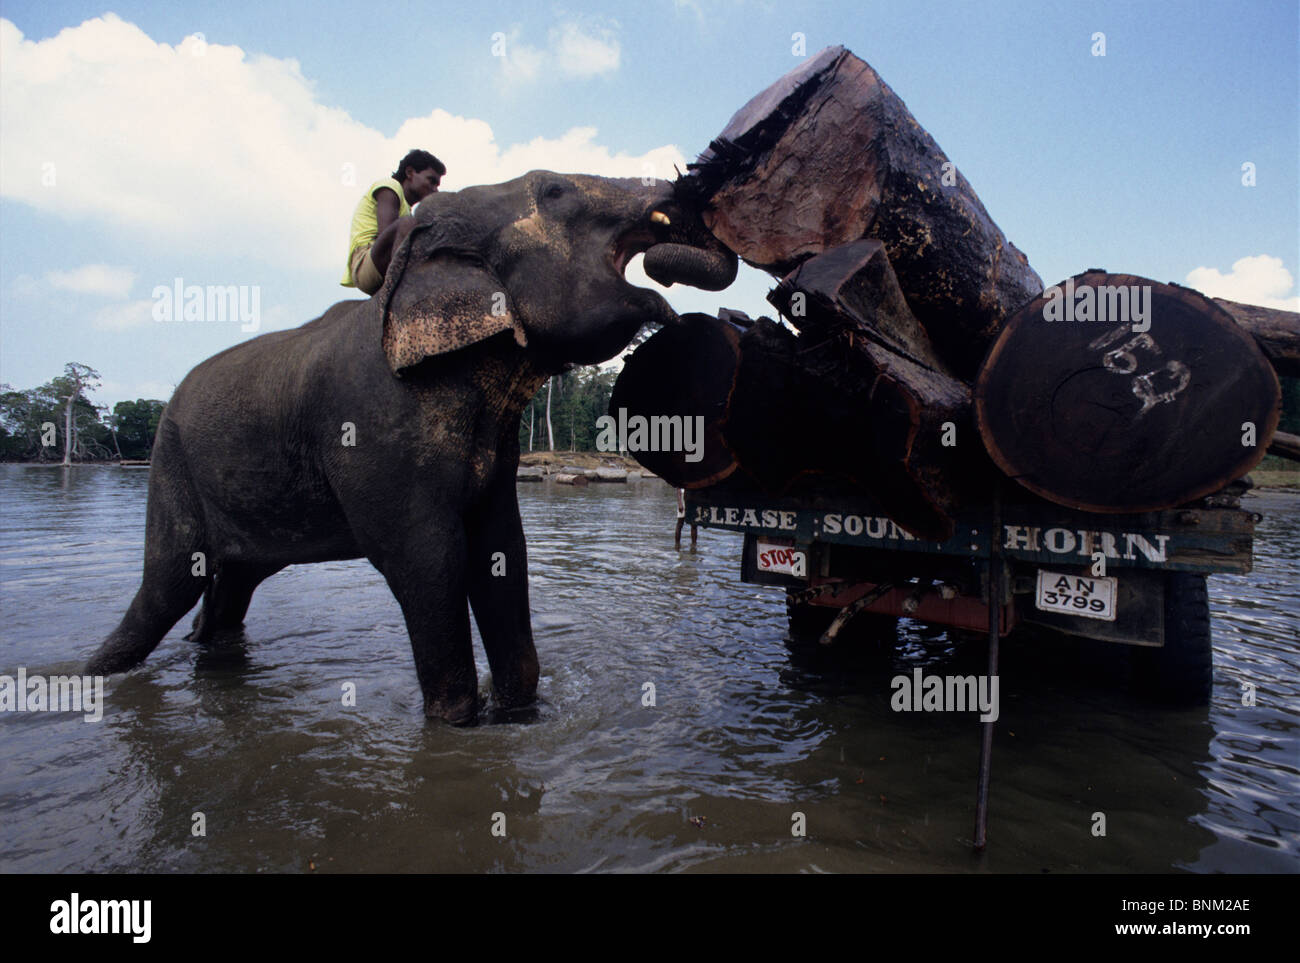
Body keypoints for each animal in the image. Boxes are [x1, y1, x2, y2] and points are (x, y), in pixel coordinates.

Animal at [86, 171, 737, 723]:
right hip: (171, 460)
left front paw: (519, 716)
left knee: (232, 584)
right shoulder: (371, 426)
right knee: (169, 581)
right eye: (554, 191)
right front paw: (458, 724)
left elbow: (504, 550)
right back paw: (94, 675)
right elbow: (430, 557)